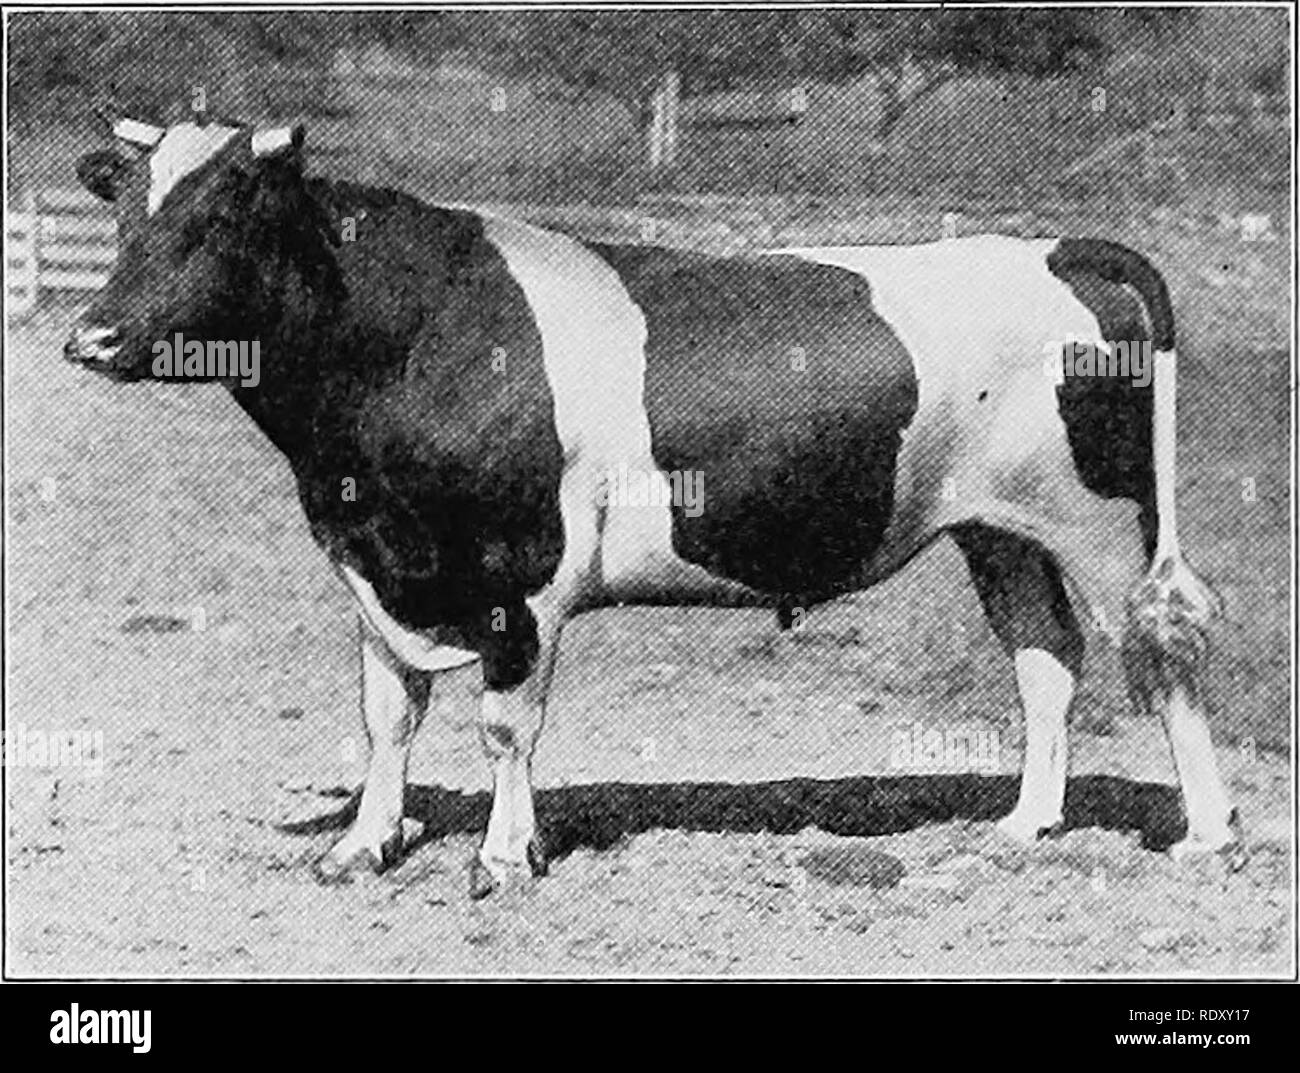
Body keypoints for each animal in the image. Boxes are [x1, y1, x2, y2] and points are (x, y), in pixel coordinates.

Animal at [65, 115, 1245, 899]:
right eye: (123, 210)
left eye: (223, 212)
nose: (94, 335)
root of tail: (1045, 245)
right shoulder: (374, 565)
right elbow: (387, 712)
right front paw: (363, 842)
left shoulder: (522, 576)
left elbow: (503, 723)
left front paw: (505, 856)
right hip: (998, 533)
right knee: (1046, 659)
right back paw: (1025, 822)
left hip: (1105, 527)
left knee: (1165, 651)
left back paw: (1210, 836)